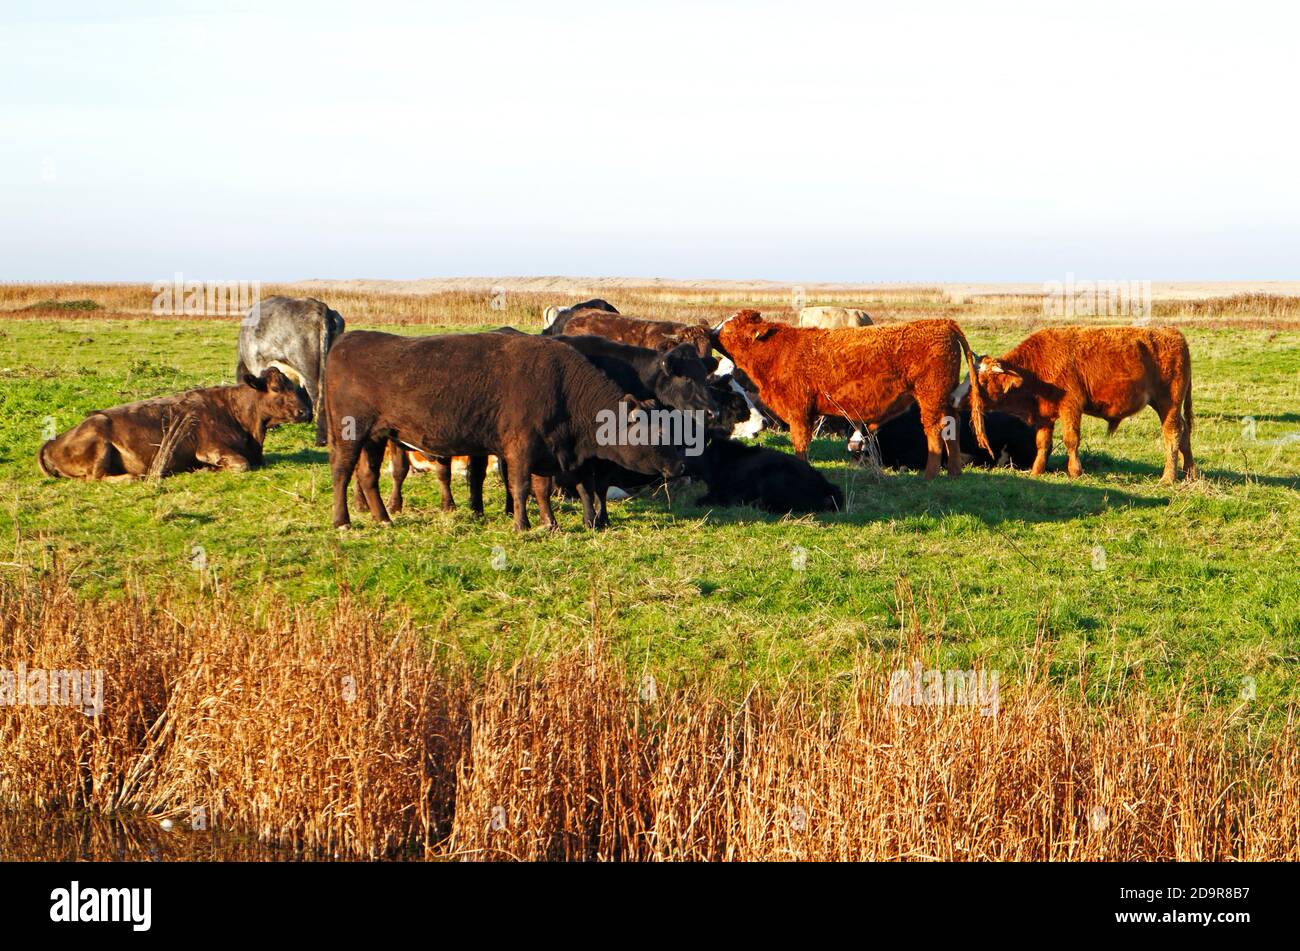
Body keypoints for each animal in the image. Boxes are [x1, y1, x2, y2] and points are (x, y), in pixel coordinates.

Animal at [37, 367, 310, 481]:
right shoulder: (210, 449)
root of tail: (54, 440)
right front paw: (204, 470)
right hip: (100, 445)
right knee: (96, 478)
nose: (306, 412)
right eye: (276, 388)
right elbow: (241, 464)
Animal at [324, 331, 685, 531]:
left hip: (376, 437)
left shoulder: (546, 452)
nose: (681, 465)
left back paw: (383, 517)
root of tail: (347, 341)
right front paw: (522, 525)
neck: (562, 387)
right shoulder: (520, 448)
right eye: (656, 434)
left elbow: (544, 489)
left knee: (368, 476)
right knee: (342, 473)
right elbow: (522, 487)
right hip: (350, 434)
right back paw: (342, 520)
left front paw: (551, 524)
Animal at [715, 310, 990, 477]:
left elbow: (800, 444)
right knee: (953, 426)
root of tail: (942, 323)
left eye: (729, 327)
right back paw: (954, 471)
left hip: (930, 398)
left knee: (935, 431)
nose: (711, 330)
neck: (778, 350)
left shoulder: (799, 412)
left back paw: (930, 474)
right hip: (945, 399)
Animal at [972, 326, 1196, 482]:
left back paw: (1168, 478)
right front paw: (1036, 471)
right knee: (1184, 433)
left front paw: (1075, 471)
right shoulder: (1045, 415)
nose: (970, 402)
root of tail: (1174, 334)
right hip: (1166, 407)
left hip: (1168, 405)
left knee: (1173, 434)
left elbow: (1071, 439)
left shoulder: (1070, 406)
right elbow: (1043, 443)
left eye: (983, 382)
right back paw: (1190, 473)